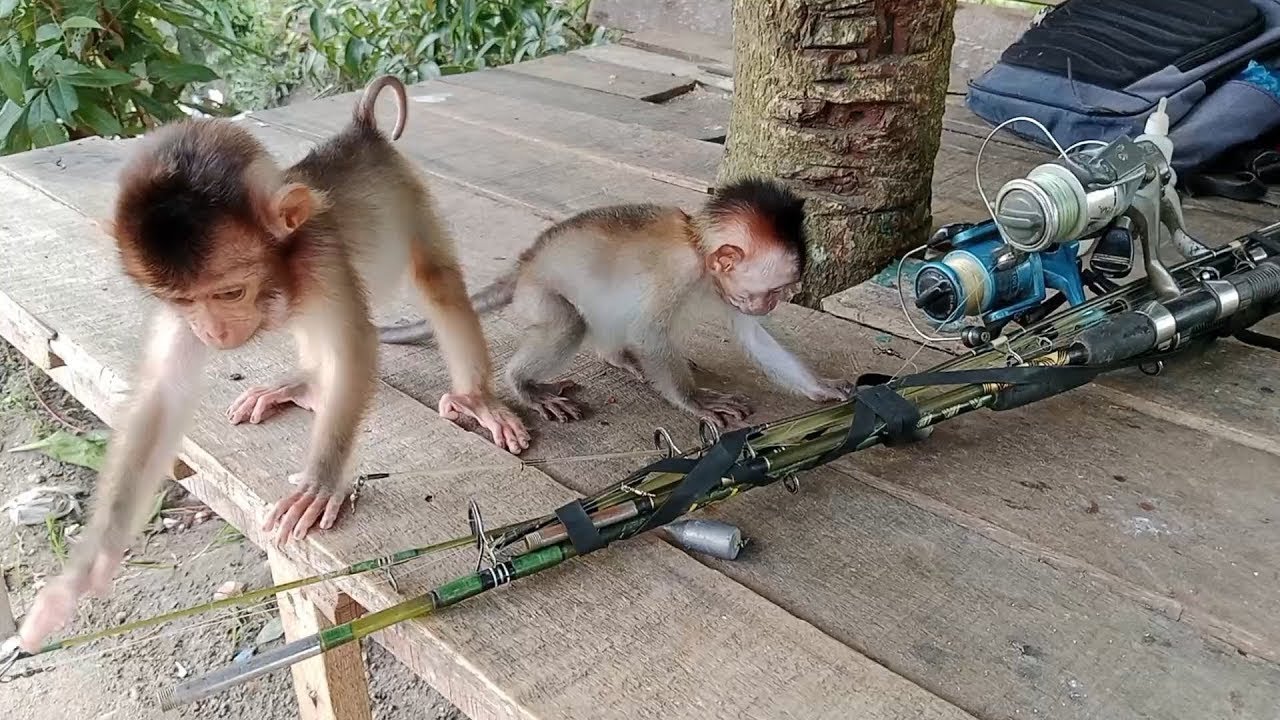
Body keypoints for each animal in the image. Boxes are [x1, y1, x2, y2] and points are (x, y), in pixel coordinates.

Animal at [16, 75, 530, 653]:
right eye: (184, 301)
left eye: (229, 292)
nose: (212, 333)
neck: (280, 272)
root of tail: (360, 133)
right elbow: (161, 399)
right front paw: (86, 569)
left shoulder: (321, 256)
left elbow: (355, 348)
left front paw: (318, 485)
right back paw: (305, 385)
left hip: (409, 194)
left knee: (435, 279)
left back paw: (474, 398)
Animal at [377, 178, 851, 429]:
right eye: (772, 291)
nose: (771, 305)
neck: (699, 250)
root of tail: (526, 263)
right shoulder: (678, 274)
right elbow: (649, 333)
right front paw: (697, 402)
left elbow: (754, 338)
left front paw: (822, 387)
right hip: (537, 296)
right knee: (570, 323)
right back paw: (524, 384)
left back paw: (617, 357)